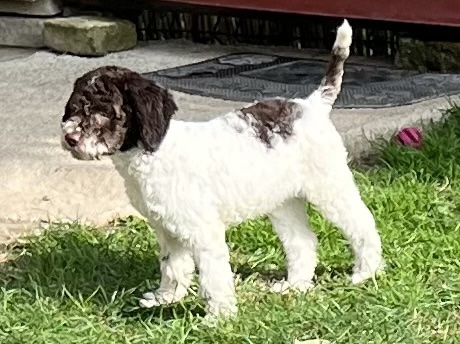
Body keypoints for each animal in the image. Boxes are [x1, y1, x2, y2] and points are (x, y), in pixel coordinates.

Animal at [62, 20, 384, 318]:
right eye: (75, 108)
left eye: (104, 111)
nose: (70, 137)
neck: (155, 153)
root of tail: (312, 104)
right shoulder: (168, 230)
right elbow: (172, 266)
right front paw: (166, 298)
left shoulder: (203, 230)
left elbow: (212, 275)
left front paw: (219, 316)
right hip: (284, 201)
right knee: (302, 242)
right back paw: (295, 285)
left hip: (329, 186)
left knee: (362, 225)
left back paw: (365, 273)